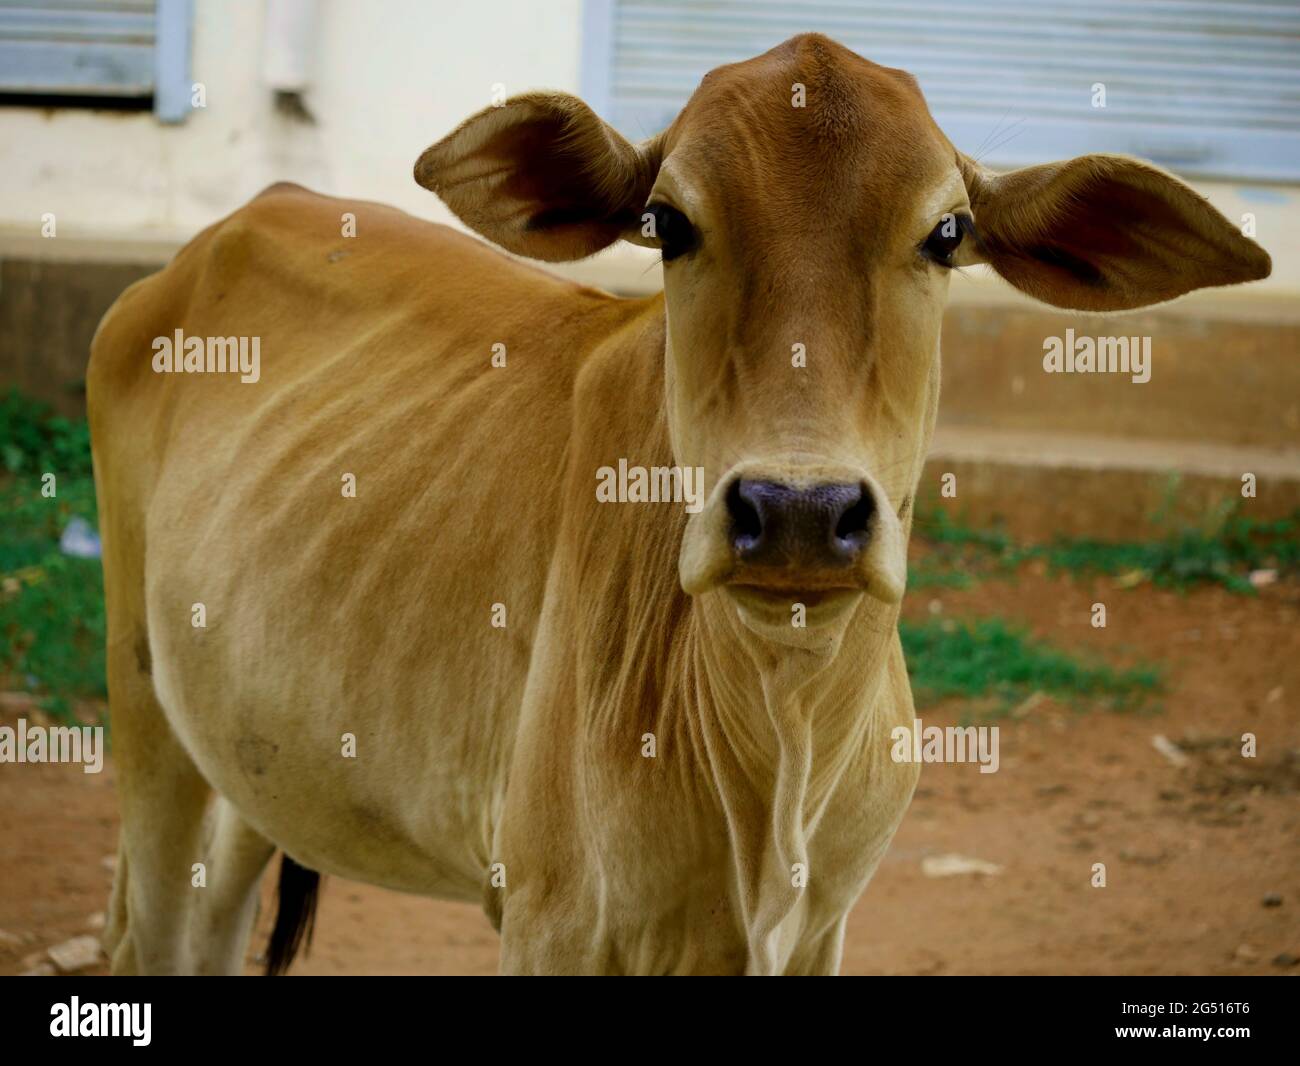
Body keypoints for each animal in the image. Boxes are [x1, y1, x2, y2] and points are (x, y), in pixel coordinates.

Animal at [88, 33, 1270, 975]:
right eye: (667, 221)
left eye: (946, 234)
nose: (798, 511)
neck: (779, 734)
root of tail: (232, 228)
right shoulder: (552, 924)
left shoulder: (821, 931)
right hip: (146, 718)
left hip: (254, 754)